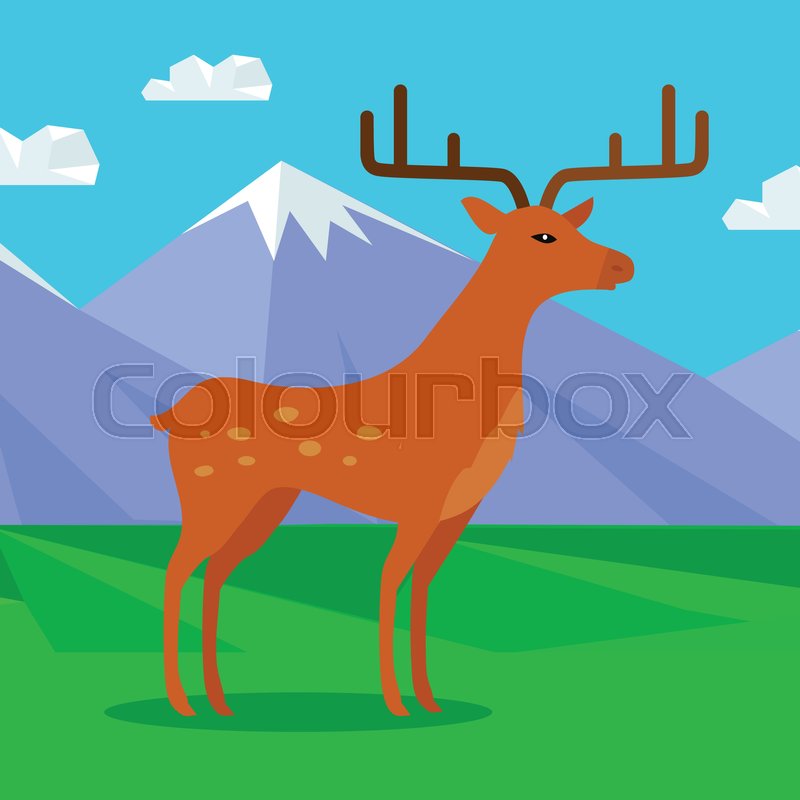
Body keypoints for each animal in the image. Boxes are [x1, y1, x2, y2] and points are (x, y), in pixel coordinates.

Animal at [152, 84, 709, 717]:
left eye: (567, 224)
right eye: (542, 235)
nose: (621, 263)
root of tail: (169, 413)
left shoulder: (459, 509)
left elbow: (422, 588)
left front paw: (429, 699)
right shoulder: (418, 499)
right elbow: (389, 581)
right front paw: (396, 704)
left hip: (268, 501)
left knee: (217, 571)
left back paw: (221, 702)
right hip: (210, 491)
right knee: (176, 567)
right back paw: (183, 703)